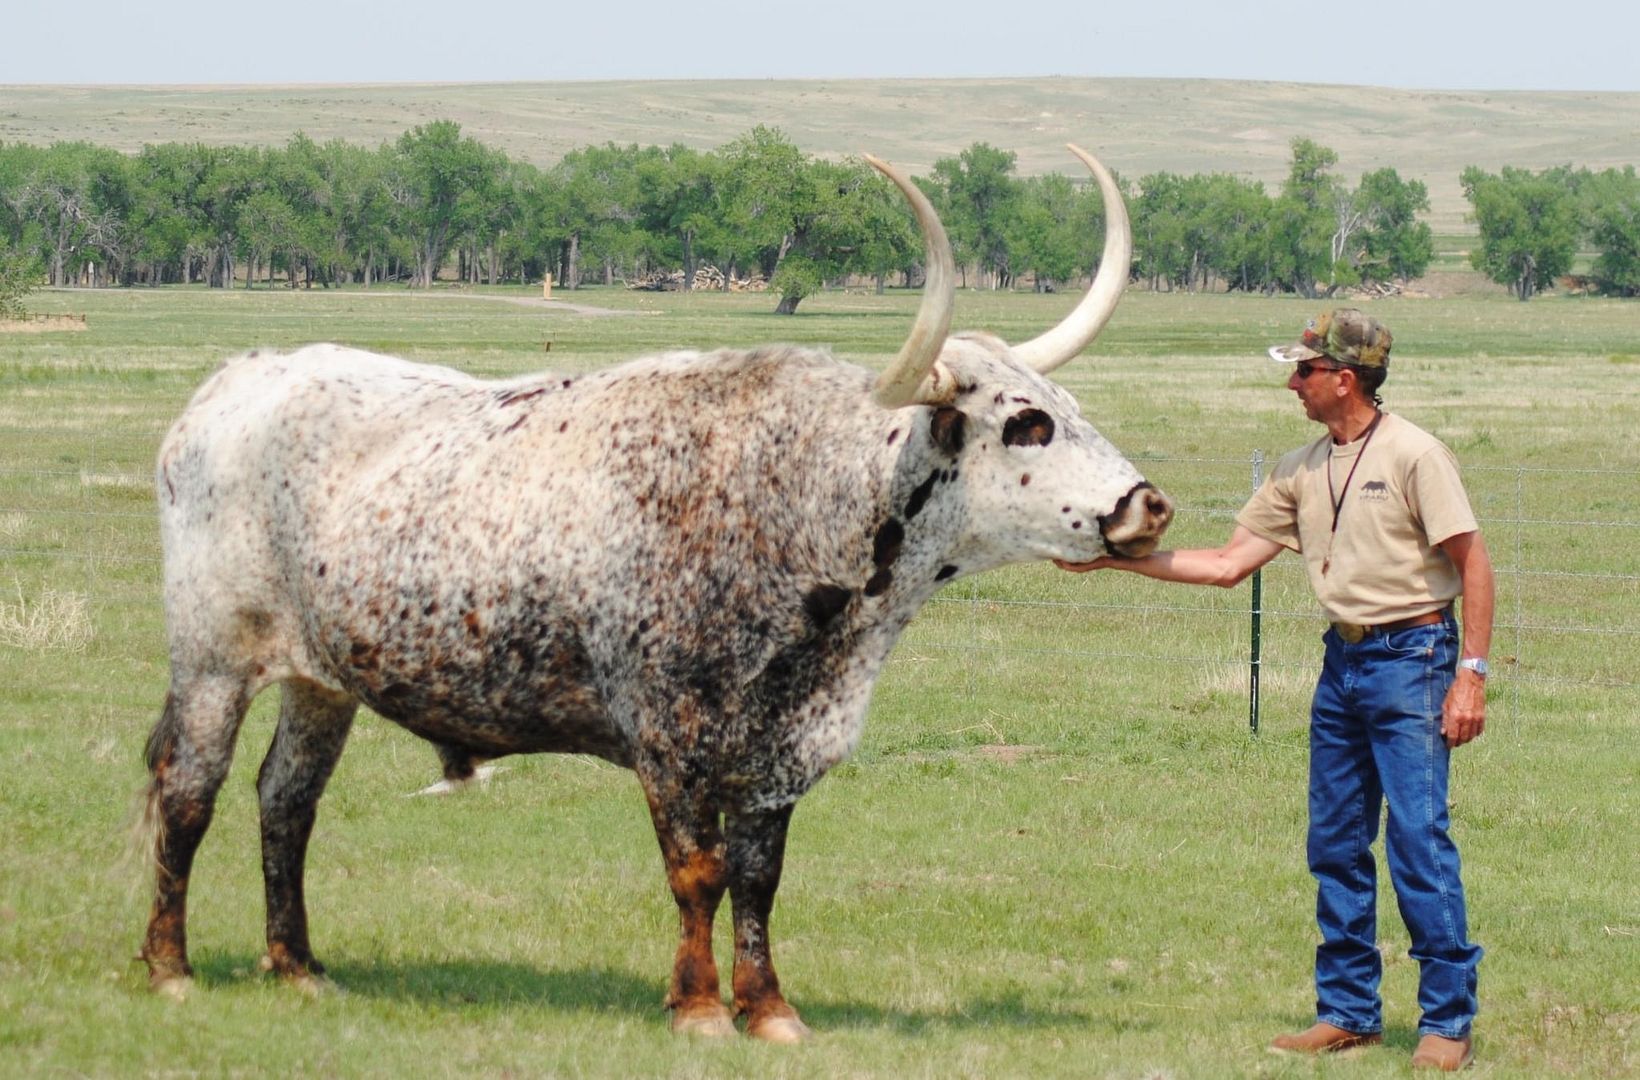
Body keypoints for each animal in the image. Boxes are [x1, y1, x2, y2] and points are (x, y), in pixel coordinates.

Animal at [139, 146, 1174, 1042]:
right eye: (1028, 424)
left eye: (1066, 405)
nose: (1148, 505)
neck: (797, 501)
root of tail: (238, 379)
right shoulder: (671, 738)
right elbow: (699, 873)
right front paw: (702, 1007)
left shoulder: (781, 747)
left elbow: (759, 878)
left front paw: (770, 1009)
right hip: (213, 658)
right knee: (188, 790)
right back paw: (170, 969)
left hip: (321, 679)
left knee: (286, 799)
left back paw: (297, 967)